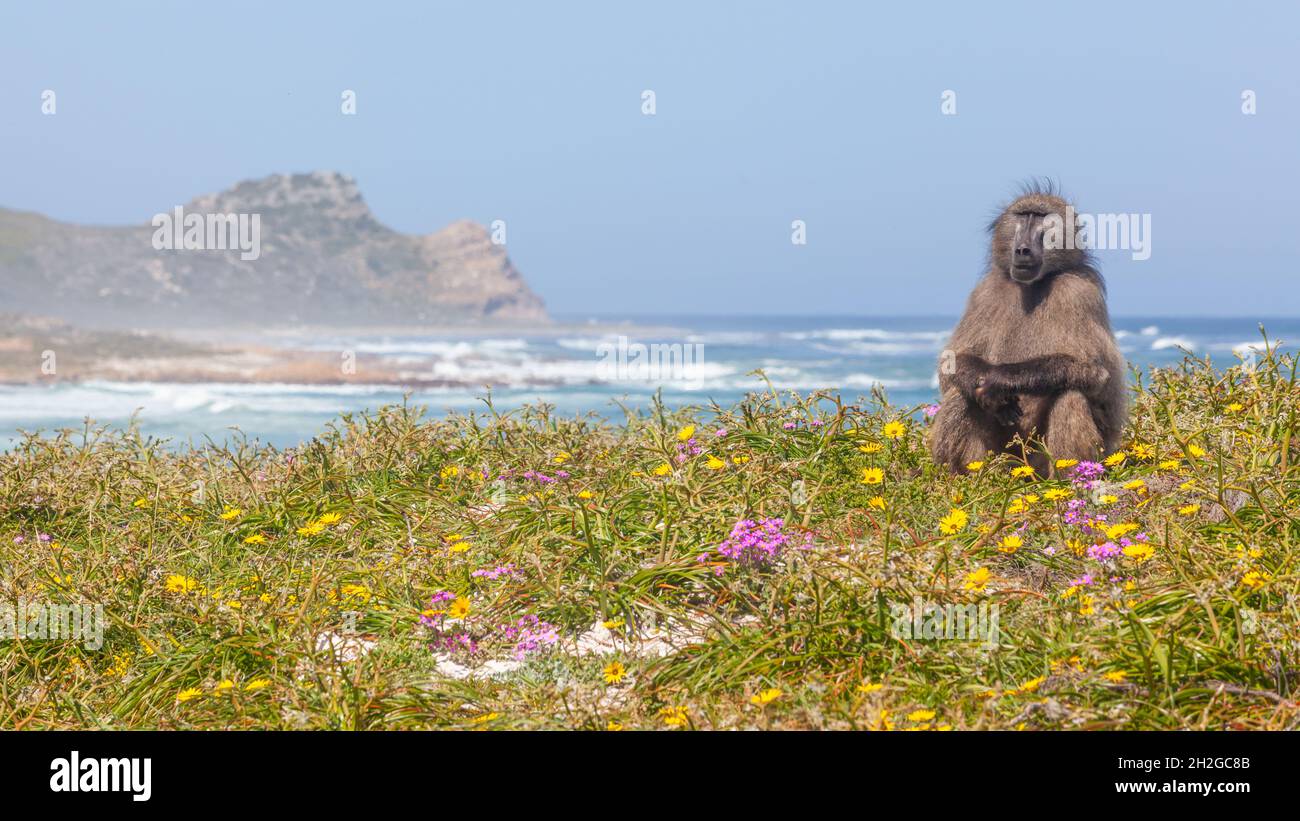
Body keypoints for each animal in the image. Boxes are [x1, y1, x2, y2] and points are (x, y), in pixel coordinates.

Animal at [929, 182, 1127, 475]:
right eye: (1023, 216)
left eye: (1042, 218)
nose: (1022, 249)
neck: (1033, 284)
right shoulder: (983, 293)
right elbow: (952, 362)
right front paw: (984, 384)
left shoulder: (1078, 292)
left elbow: (1095, 372)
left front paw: (997, 381)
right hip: (1000, 456)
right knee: (960, 394)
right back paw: (966, 476)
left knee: (1070, 392)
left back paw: (1069, 478)